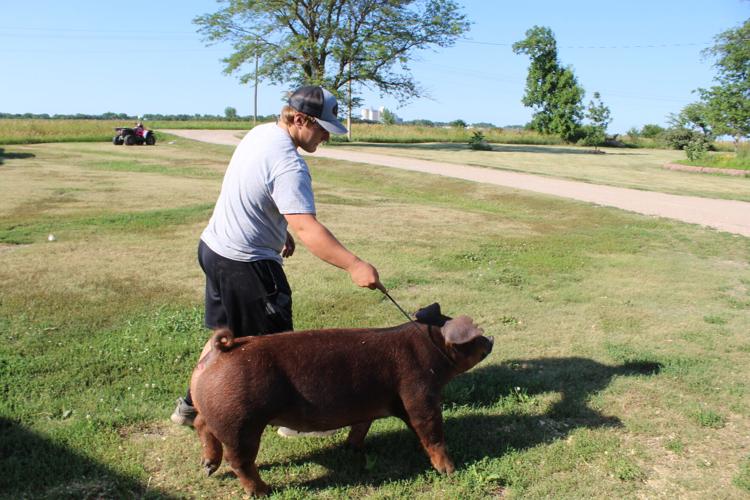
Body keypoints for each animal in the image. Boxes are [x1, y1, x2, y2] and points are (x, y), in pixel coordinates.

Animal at [189, 304, 493, 496]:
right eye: (475, 337)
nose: (491, 339)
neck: (432, 350)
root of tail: (219, 351)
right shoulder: (420, 396)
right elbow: (431, 433)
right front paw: (450, 470)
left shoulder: (367, 405)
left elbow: (362, 426)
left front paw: (352, 448)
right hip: (240, 421)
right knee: (239, 460)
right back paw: (262, 491)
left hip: (218, 413)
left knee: (201, 425)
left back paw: (207, 468)